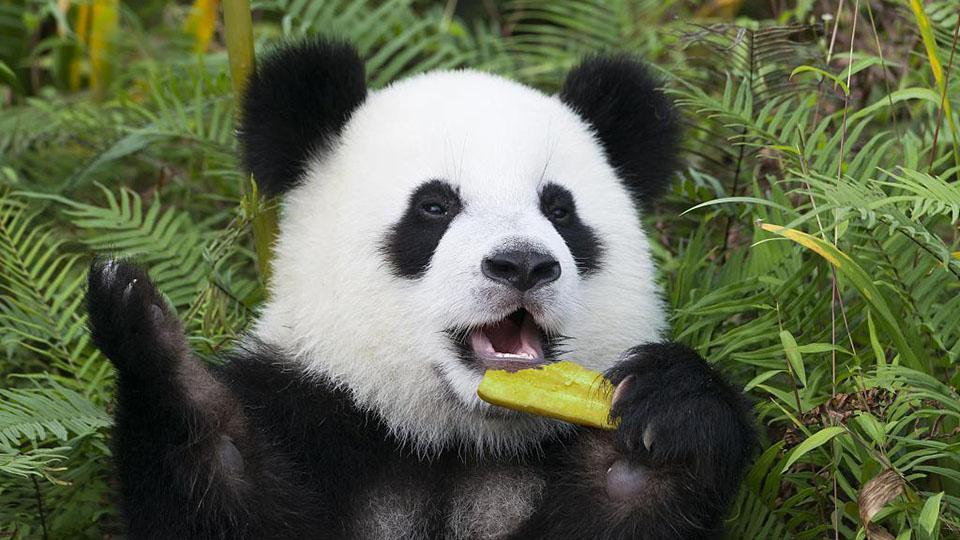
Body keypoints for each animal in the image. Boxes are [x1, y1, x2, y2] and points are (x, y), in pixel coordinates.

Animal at [86, 38, 755, 540]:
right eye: (434, 206)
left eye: (560, 211)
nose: (522, 264)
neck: (450, 436)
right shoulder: (308, 408)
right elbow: (217, 500)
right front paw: (156, 345)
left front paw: (663, 420)